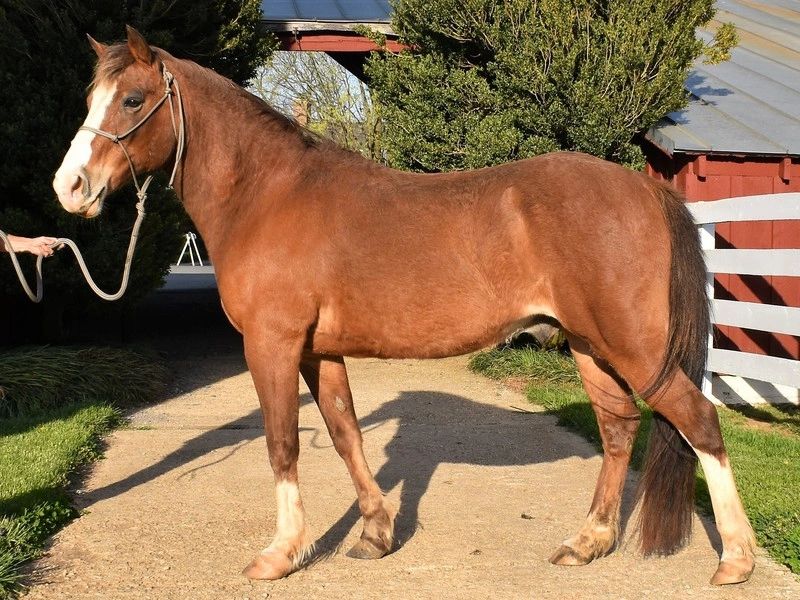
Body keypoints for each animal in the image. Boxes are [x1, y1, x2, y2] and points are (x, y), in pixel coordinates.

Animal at [52, 27, 756, 586]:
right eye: (90, 100)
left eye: (132, 100)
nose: (69, 187)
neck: (267, 194)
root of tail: (643, 188)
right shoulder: (319, 351)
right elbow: (344, 434)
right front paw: (374, 535)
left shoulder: (272, 344)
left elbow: (283, 442)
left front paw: (280, 554)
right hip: (589, 346)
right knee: (618, 430)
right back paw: (587, 543)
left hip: (632, 347)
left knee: (701, 422)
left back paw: (737, 560)